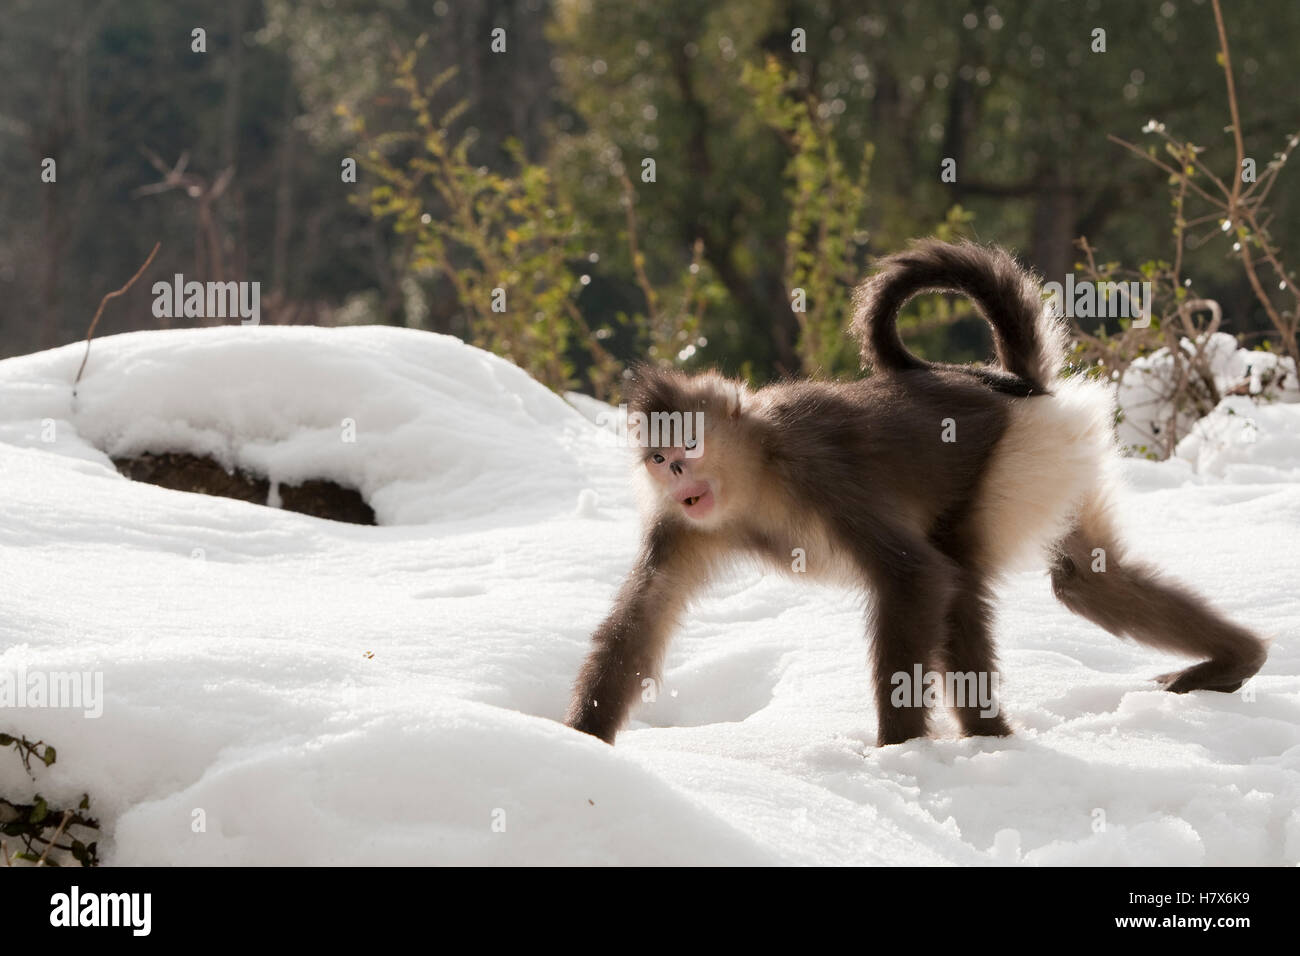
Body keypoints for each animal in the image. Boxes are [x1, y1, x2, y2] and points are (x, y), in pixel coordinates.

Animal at [564, 239, 1268, 747]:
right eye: (659, 459)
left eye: (686, 448)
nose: (676, 475)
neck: (756, 477)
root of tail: (1022, 386)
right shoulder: (679, 522)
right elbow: (642, 618)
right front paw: (579, 745)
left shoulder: (817, 472)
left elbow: (914, 577)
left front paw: (896, 753)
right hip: (1064, 463)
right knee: (1087, 580)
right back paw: (1237, 659)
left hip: (1020, 459)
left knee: (958, 574)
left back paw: (989, 738)